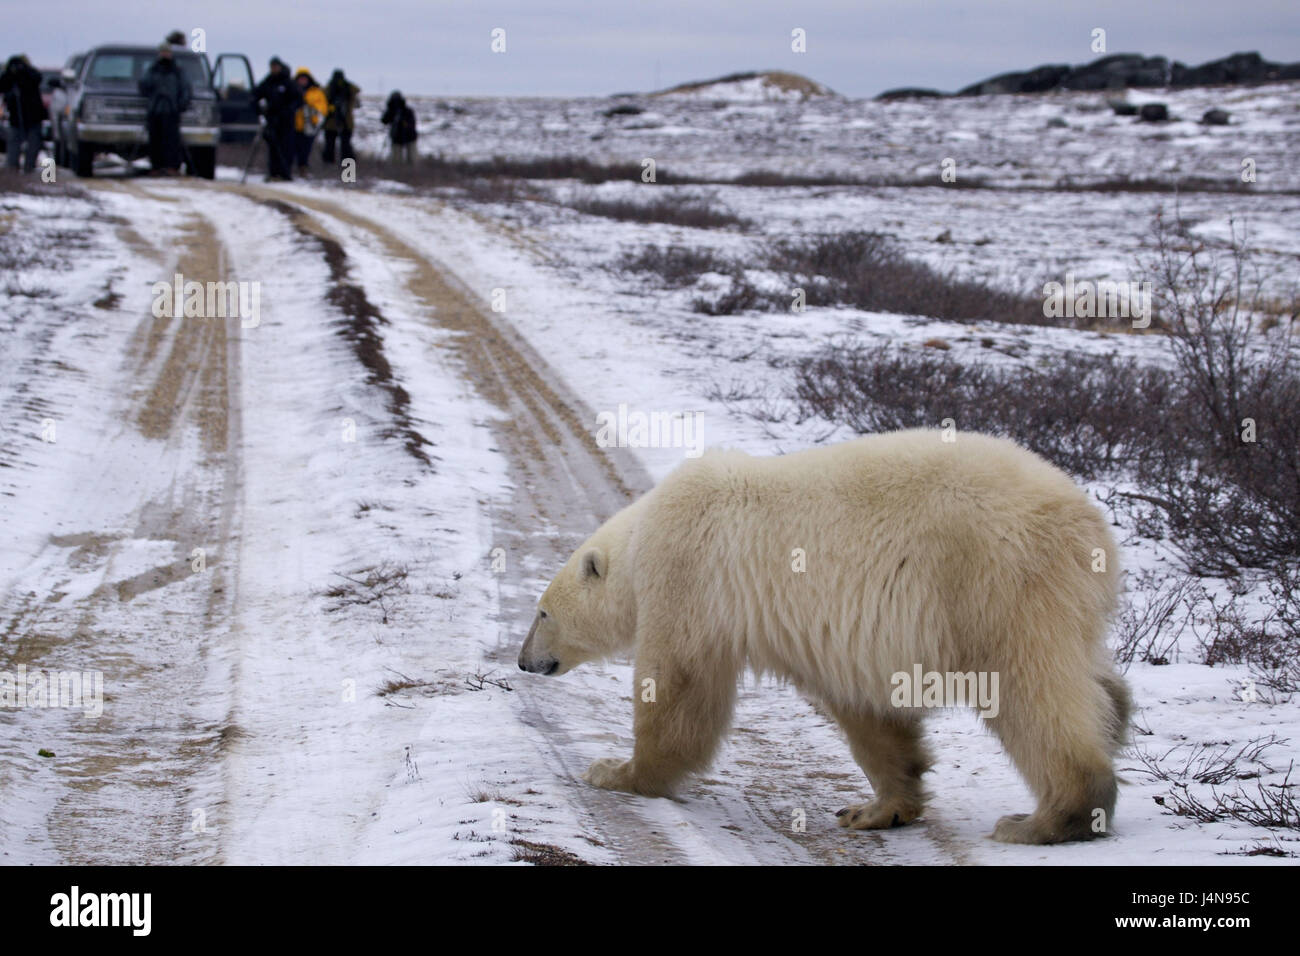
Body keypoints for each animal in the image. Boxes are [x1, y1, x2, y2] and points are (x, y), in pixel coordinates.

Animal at [518, 429, 1132, 844]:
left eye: (542, 613)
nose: (524, 662)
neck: (644, 534)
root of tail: (1089, 526)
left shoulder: (689, 575)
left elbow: (678, 689)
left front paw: (616, 772)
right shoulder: (838, 636)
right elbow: (869, 718)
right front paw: (876, 808)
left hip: (996, 584)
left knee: (1029, 693)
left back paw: (1046, 818)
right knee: (1087, 676)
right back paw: (1117, 716)